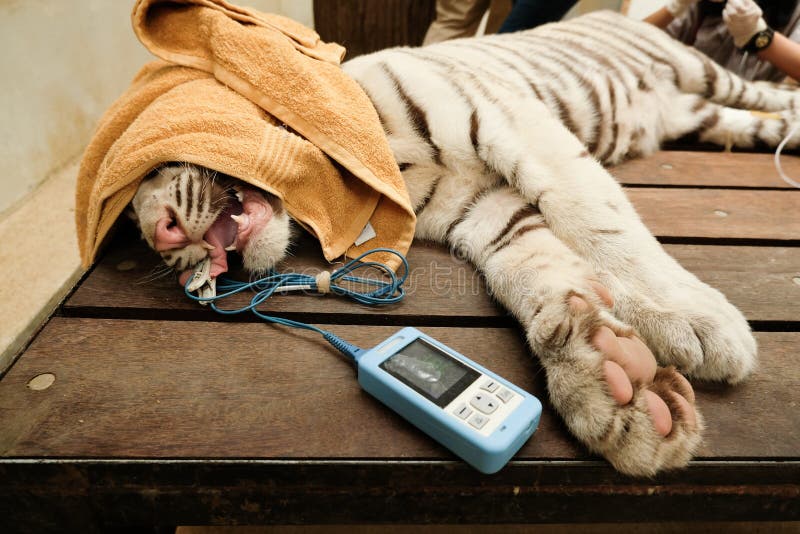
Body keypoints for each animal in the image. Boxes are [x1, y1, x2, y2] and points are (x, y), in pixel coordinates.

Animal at [129, 10, 798, 476]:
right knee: (749, 122)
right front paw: (614, 382)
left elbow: (596, 218)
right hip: (702, 113)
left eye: (155, 167)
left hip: (697, 69)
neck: (370, 173)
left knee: (763, 93)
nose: (159, 234)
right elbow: (532, 269)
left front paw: (691, 321)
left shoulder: (515, 123)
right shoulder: (482, 205)